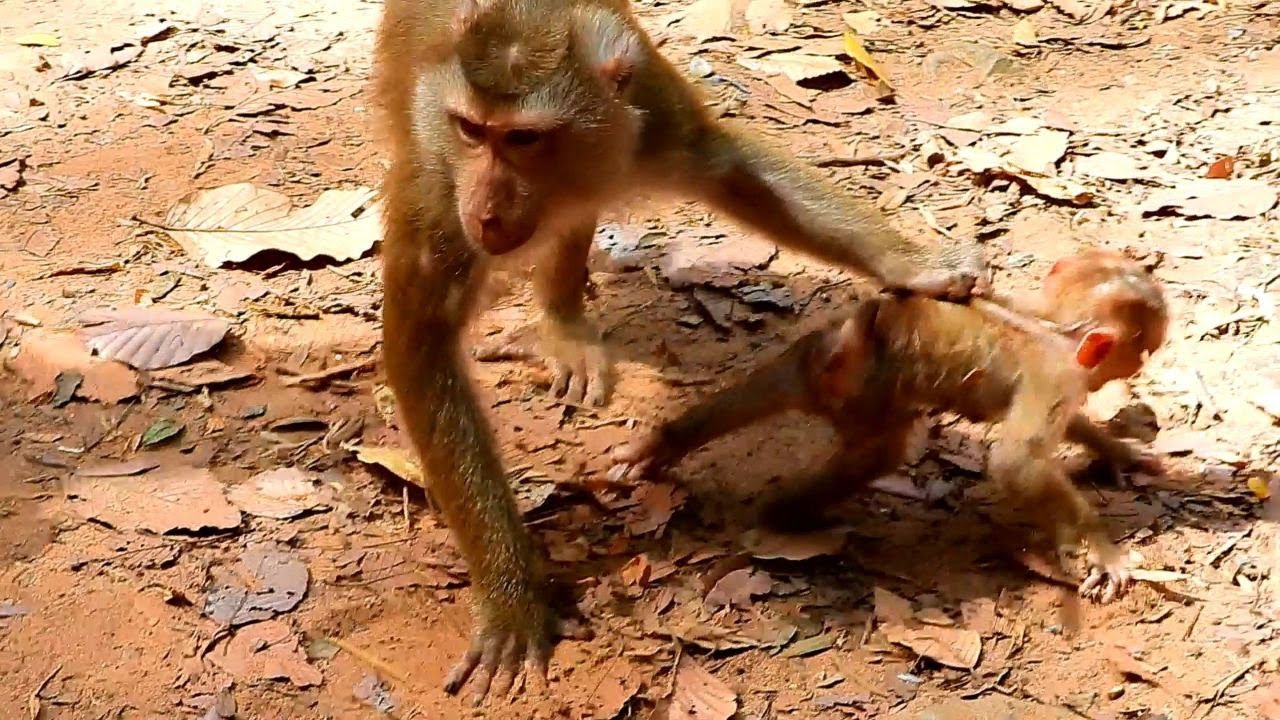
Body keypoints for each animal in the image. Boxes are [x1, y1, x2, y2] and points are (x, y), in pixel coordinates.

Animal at [373, 0, 992, 702]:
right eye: (471, 131)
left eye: (524, 139)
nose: (485, 208)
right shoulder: (437, 175)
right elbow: (422, 343)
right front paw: (512, 600)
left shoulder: (644, 112)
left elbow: (727, 166)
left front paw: (915, 262)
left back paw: (564, 321)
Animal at [612, 250, 1169, 603]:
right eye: (1141, 351)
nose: (1140, 368)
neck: (1051, 325)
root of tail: (825, 353)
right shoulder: (1057, 375)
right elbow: (1016, 464)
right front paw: (1101, 549)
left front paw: (1118, 451)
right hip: (862, 395)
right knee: (881, 452)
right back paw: (786, 515)